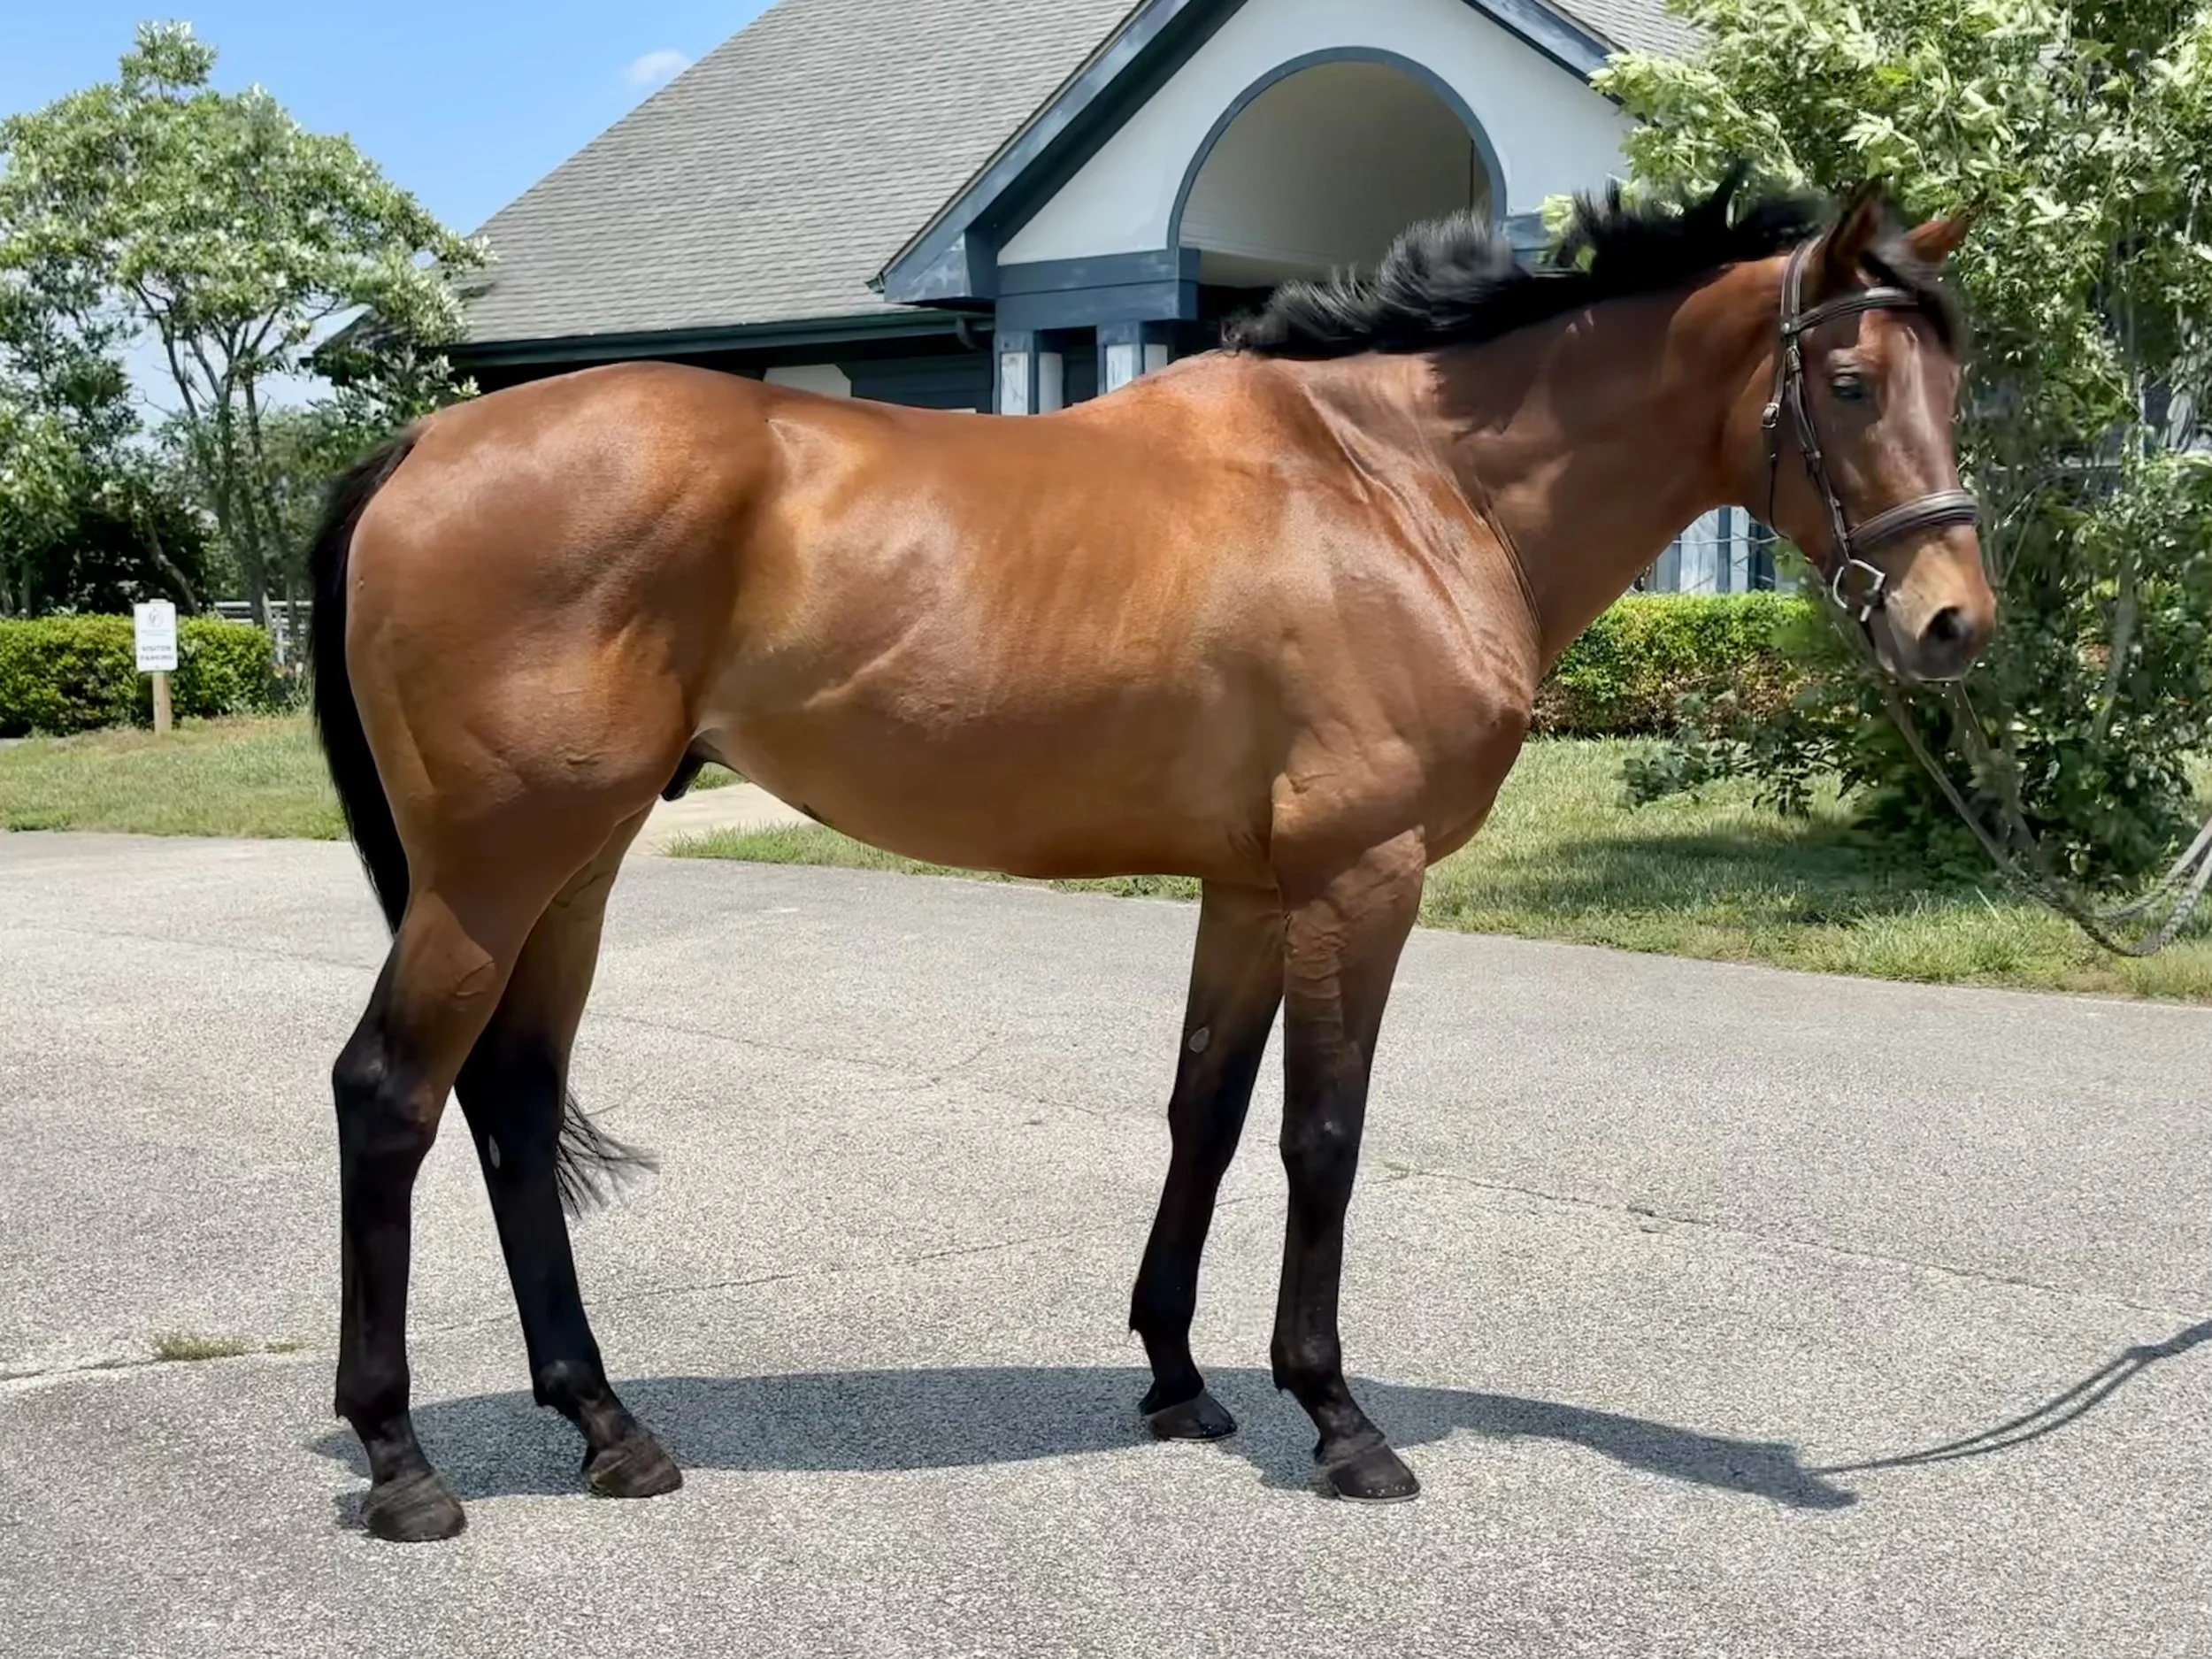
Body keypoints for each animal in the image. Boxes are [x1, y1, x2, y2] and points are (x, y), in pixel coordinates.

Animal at [307, 170, 1991, 1541]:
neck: (1398, 485)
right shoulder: (1360, 876)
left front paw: (1180, 1377)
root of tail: (427, 439)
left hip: (575, 868)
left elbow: (1207, 1115)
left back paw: (608, 1427)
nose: (1953, 624)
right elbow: (1323, 1137)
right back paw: (404, 1463)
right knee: (388, 1097)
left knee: (515, 1106)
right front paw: (1340, 1419)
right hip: (495, 871)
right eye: (1849, 381)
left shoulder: (1248, 889)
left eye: (1957, 382)